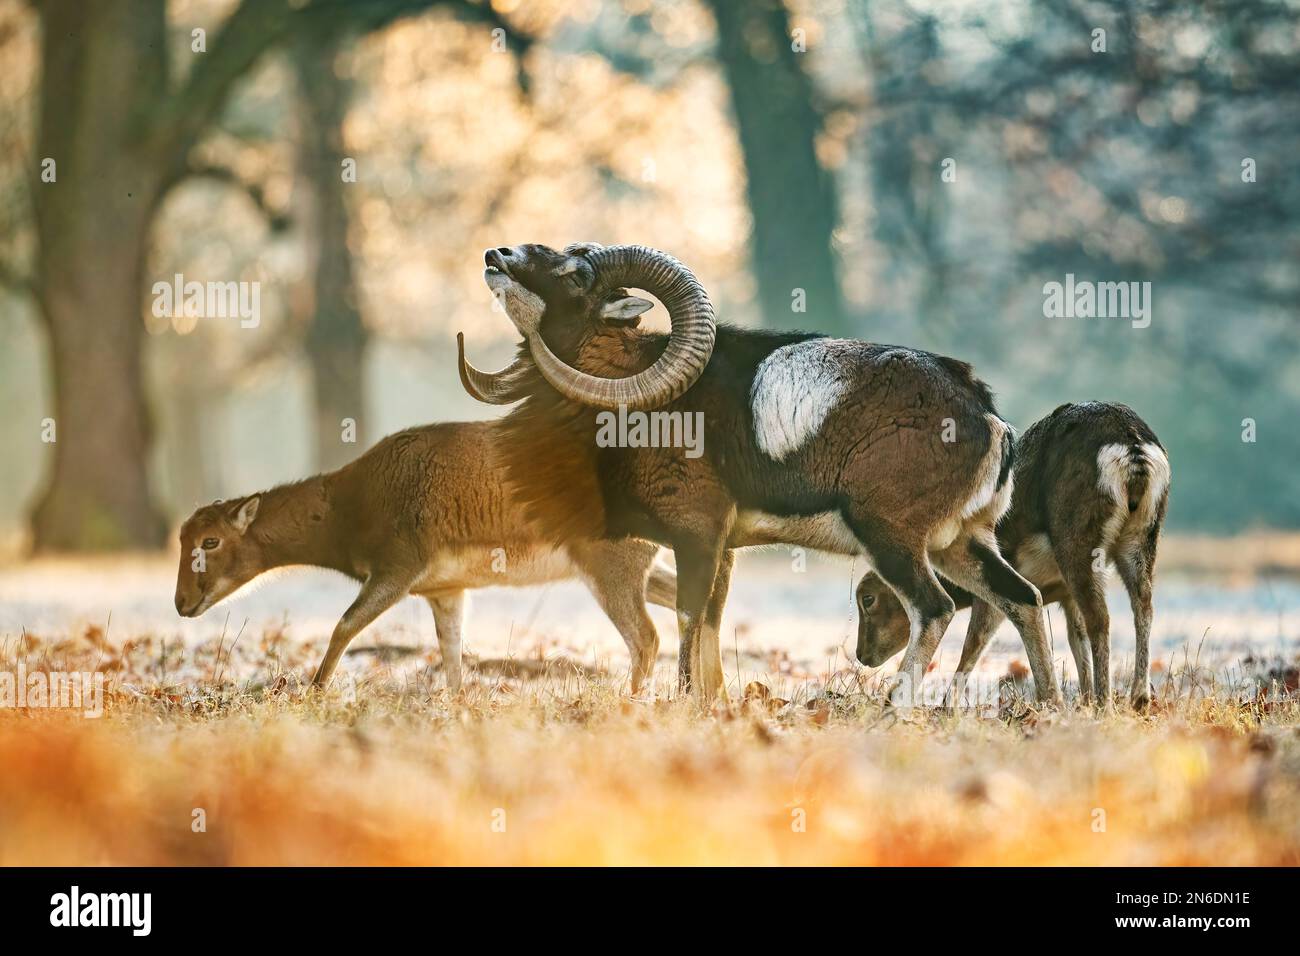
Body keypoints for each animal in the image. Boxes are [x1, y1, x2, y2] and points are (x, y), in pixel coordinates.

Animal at [173, 420, 676, 693]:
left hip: (611, 564)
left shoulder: (399, 565)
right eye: (182, 538)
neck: (350, 510)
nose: (181, 602)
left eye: (210, 541)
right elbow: (451, 652)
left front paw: (313, 692)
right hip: (638, 564)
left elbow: (343, 626)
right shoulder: (445, 588)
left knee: (647, 637)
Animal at [457, 242, 1061, 707]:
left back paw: (894, 708)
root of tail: (986, 418)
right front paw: (713, 702)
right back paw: (1049, 708)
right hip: (961, 544)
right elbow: (712, 623)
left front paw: (685, 702)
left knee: (935, 609)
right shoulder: (722, 549)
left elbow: (688, 617)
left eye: (576, 274)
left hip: (892, 539)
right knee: (1022, 599)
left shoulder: (697, 536)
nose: (496, 256)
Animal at [854, 401, 1170, 709]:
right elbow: (1074, 638)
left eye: (867, 598)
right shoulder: (1064, 596)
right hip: (1143, 536)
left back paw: (1106, 703)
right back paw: (1139, 698)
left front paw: (946, 707)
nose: (861, 654)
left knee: (1101, 617)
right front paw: (1083, 700)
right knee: (1143, 604)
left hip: (1079, 538)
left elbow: (976, 639)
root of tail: (1134, 448)